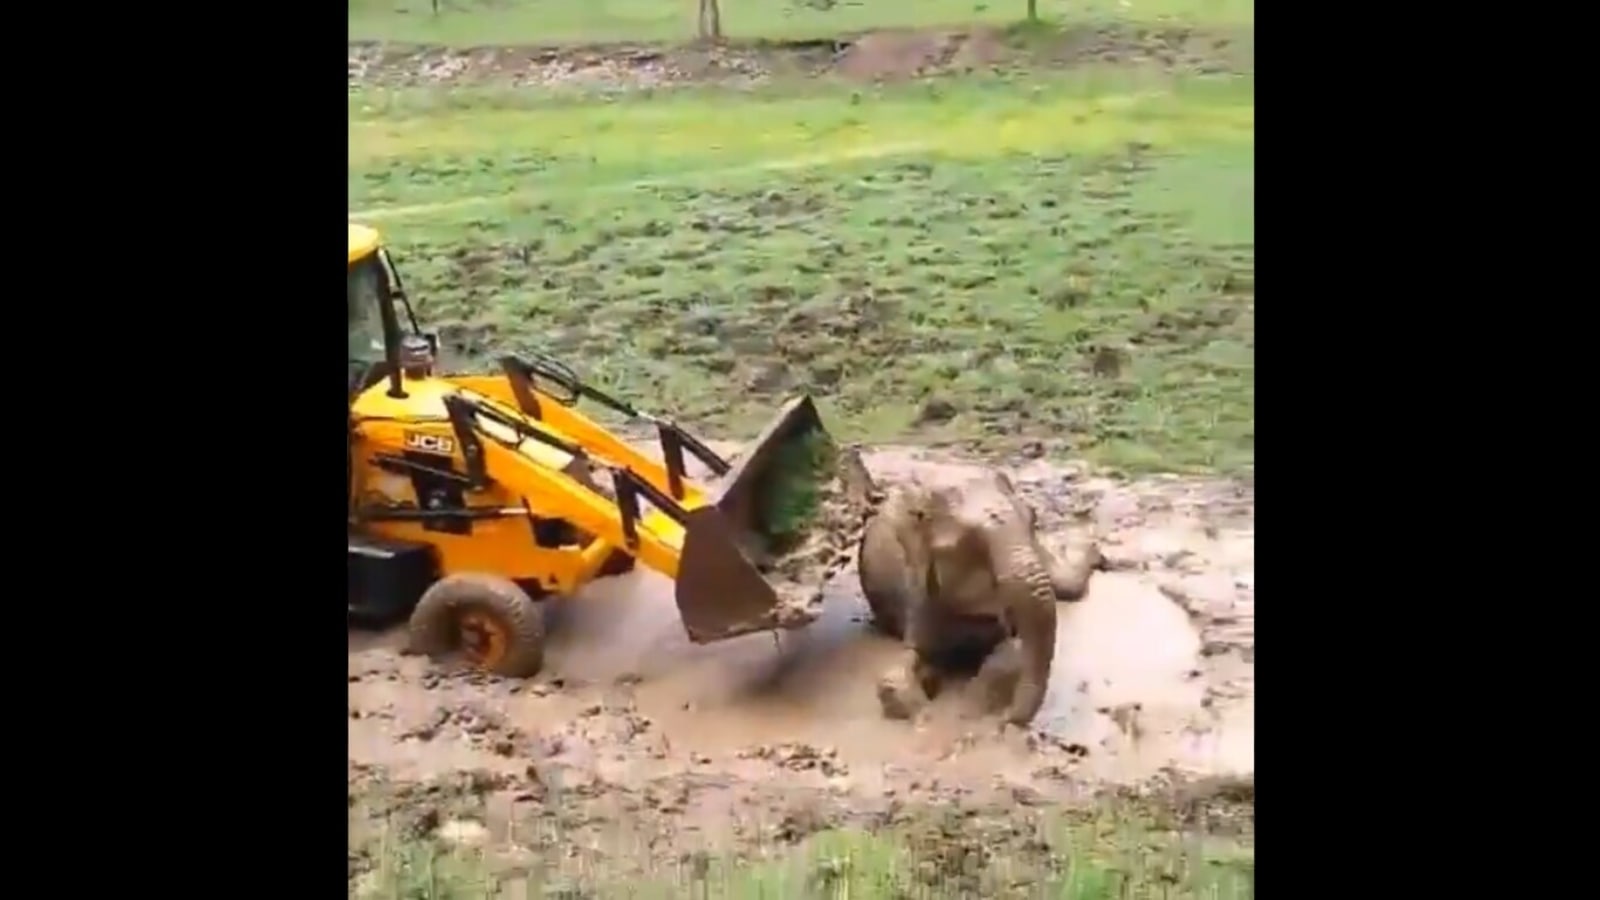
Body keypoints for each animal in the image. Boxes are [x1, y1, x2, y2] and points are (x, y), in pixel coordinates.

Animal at [850, 464, 1103, 728]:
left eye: (1033, 519)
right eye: (971, 542)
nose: (1008, 718)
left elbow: (1007, 652)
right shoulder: (919, 593)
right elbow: (898, 674)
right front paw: (925, 709)